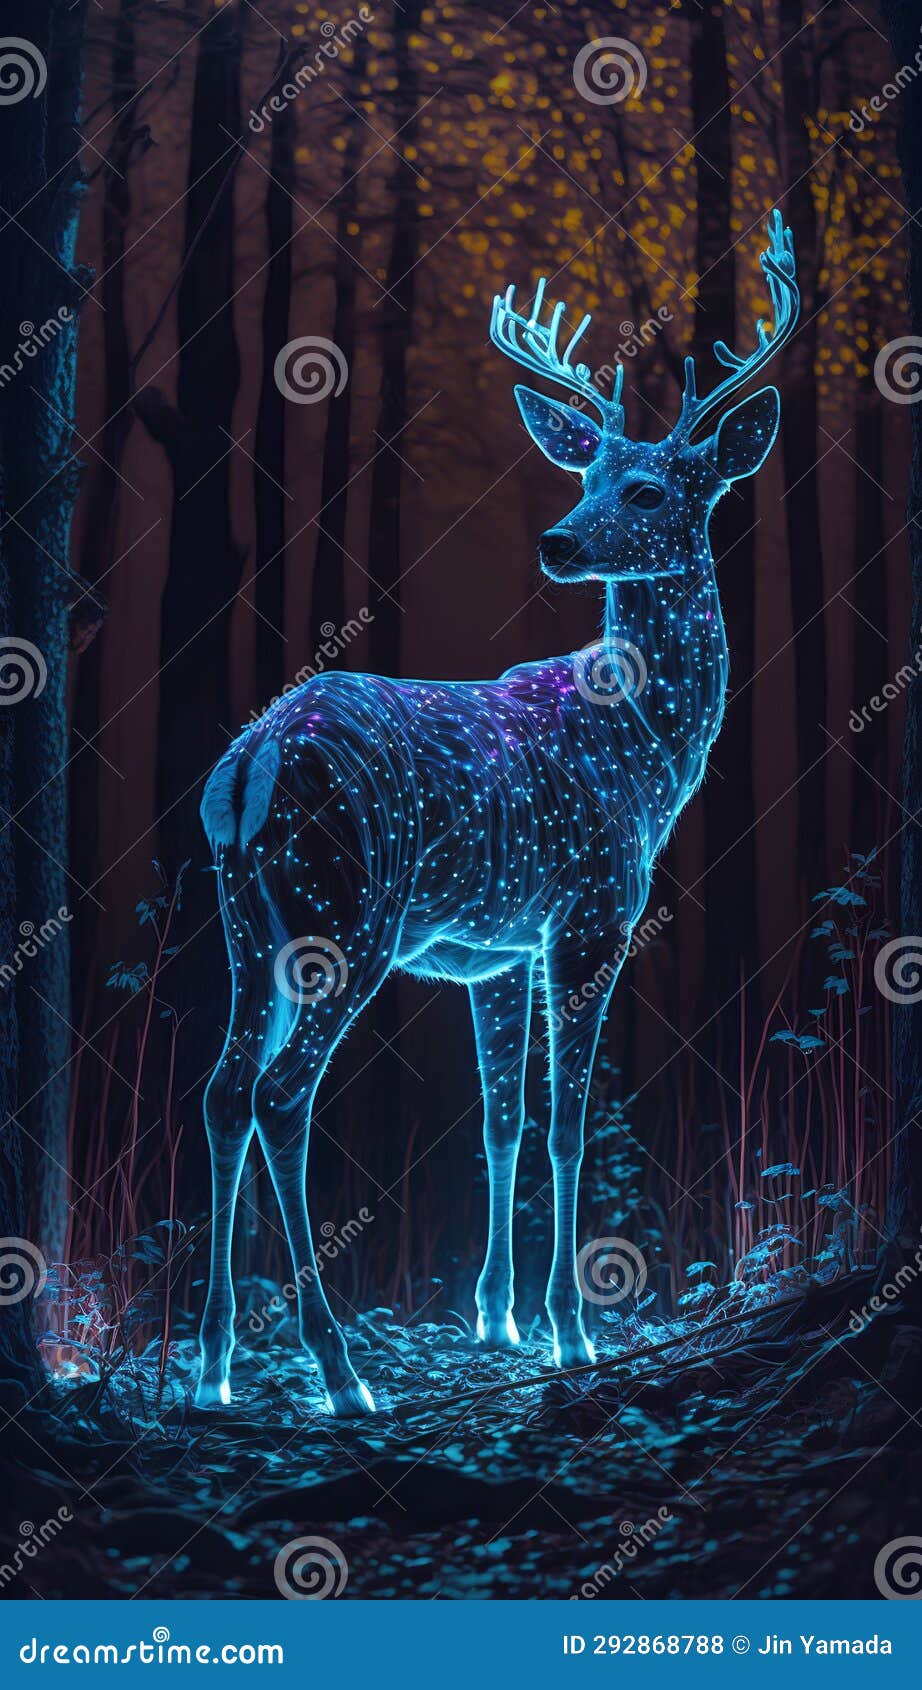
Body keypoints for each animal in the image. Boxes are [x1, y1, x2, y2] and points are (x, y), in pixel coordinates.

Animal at [194, 210, 798, 1415]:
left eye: (650, 488)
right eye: (591, 472)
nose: (560, 541)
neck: (645, 753)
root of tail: (249, 763)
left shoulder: (494, 949)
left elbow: (502, 1118)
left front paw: (499, 1316)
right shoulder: (591, 913)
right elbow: (568, 1123)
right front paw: (572, 1331)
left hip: (247, 921)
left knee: (224, 1090)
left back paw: (212, 1366)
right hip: (346, 912)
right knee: (282, 1095)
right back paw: (341, 1374)